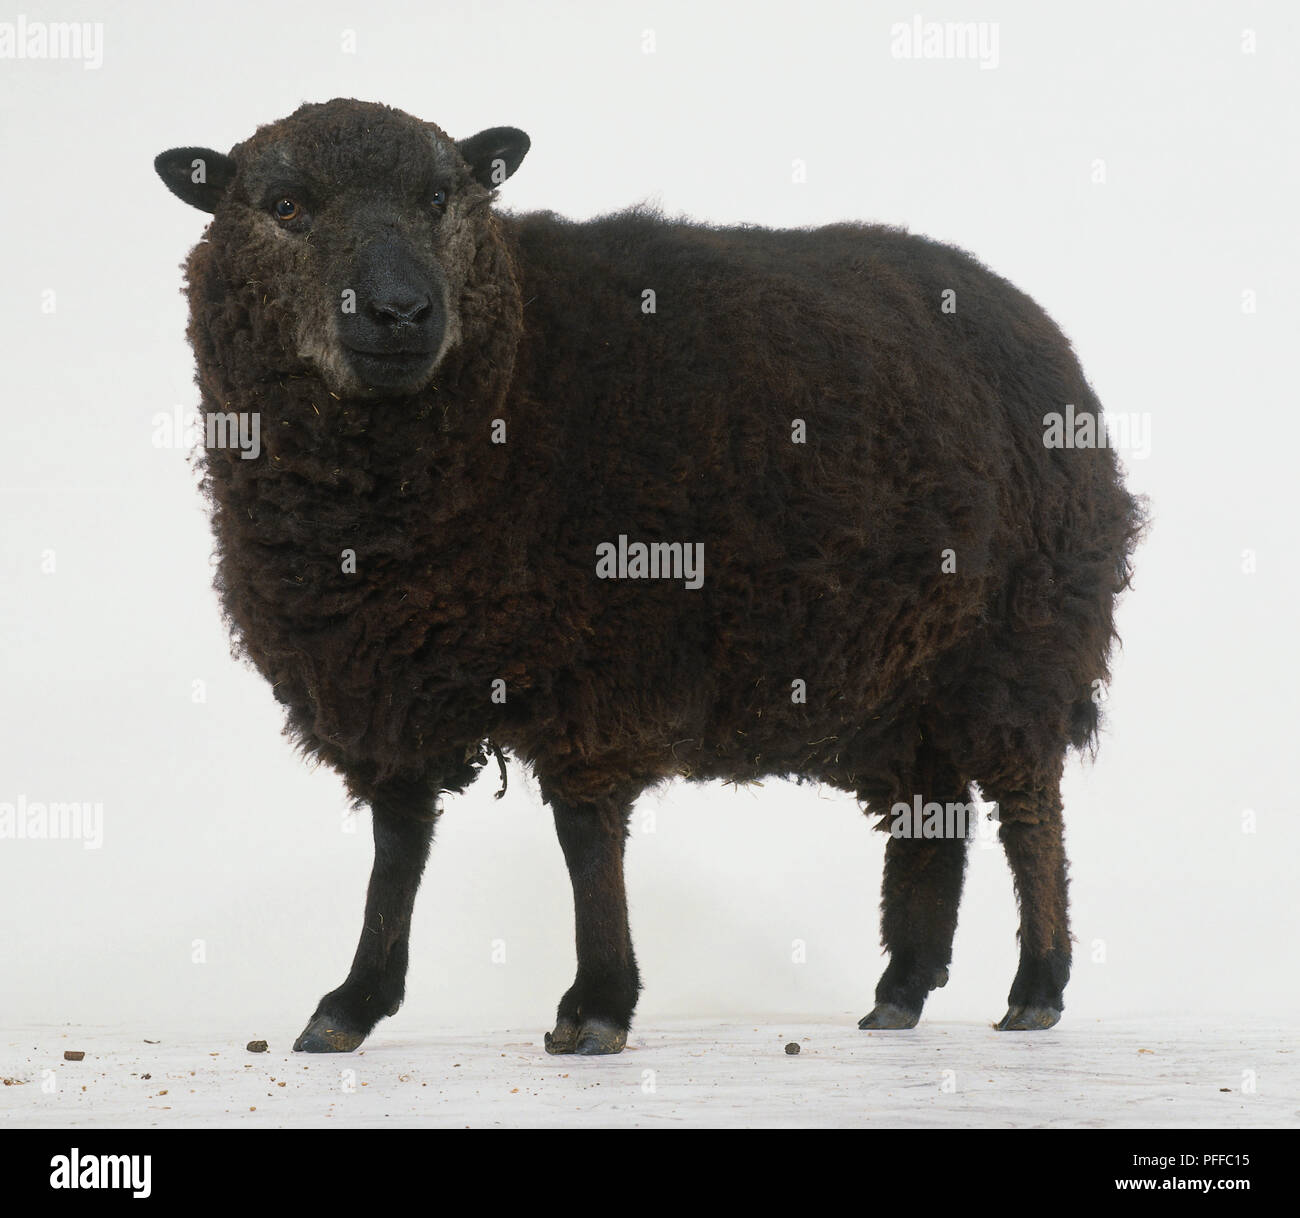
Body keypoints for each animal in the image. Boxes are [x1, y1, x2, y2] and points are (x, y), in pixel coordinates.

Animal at [155, 98, 1144, 1056]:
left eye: (441, 197)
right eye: (285, 205)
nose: (401, 312)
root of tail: (1028, 318)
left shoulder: (600, 657)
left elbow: (585, 833)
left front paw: (597, 1002)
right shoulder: (383, 673)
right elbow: (398, 840)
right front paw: (353, 1004)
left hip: (1023, 637)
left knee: (1028, 806)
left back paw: (1036, 986)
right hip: (898, 671)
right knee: (931, 811)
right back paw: (900, 991)